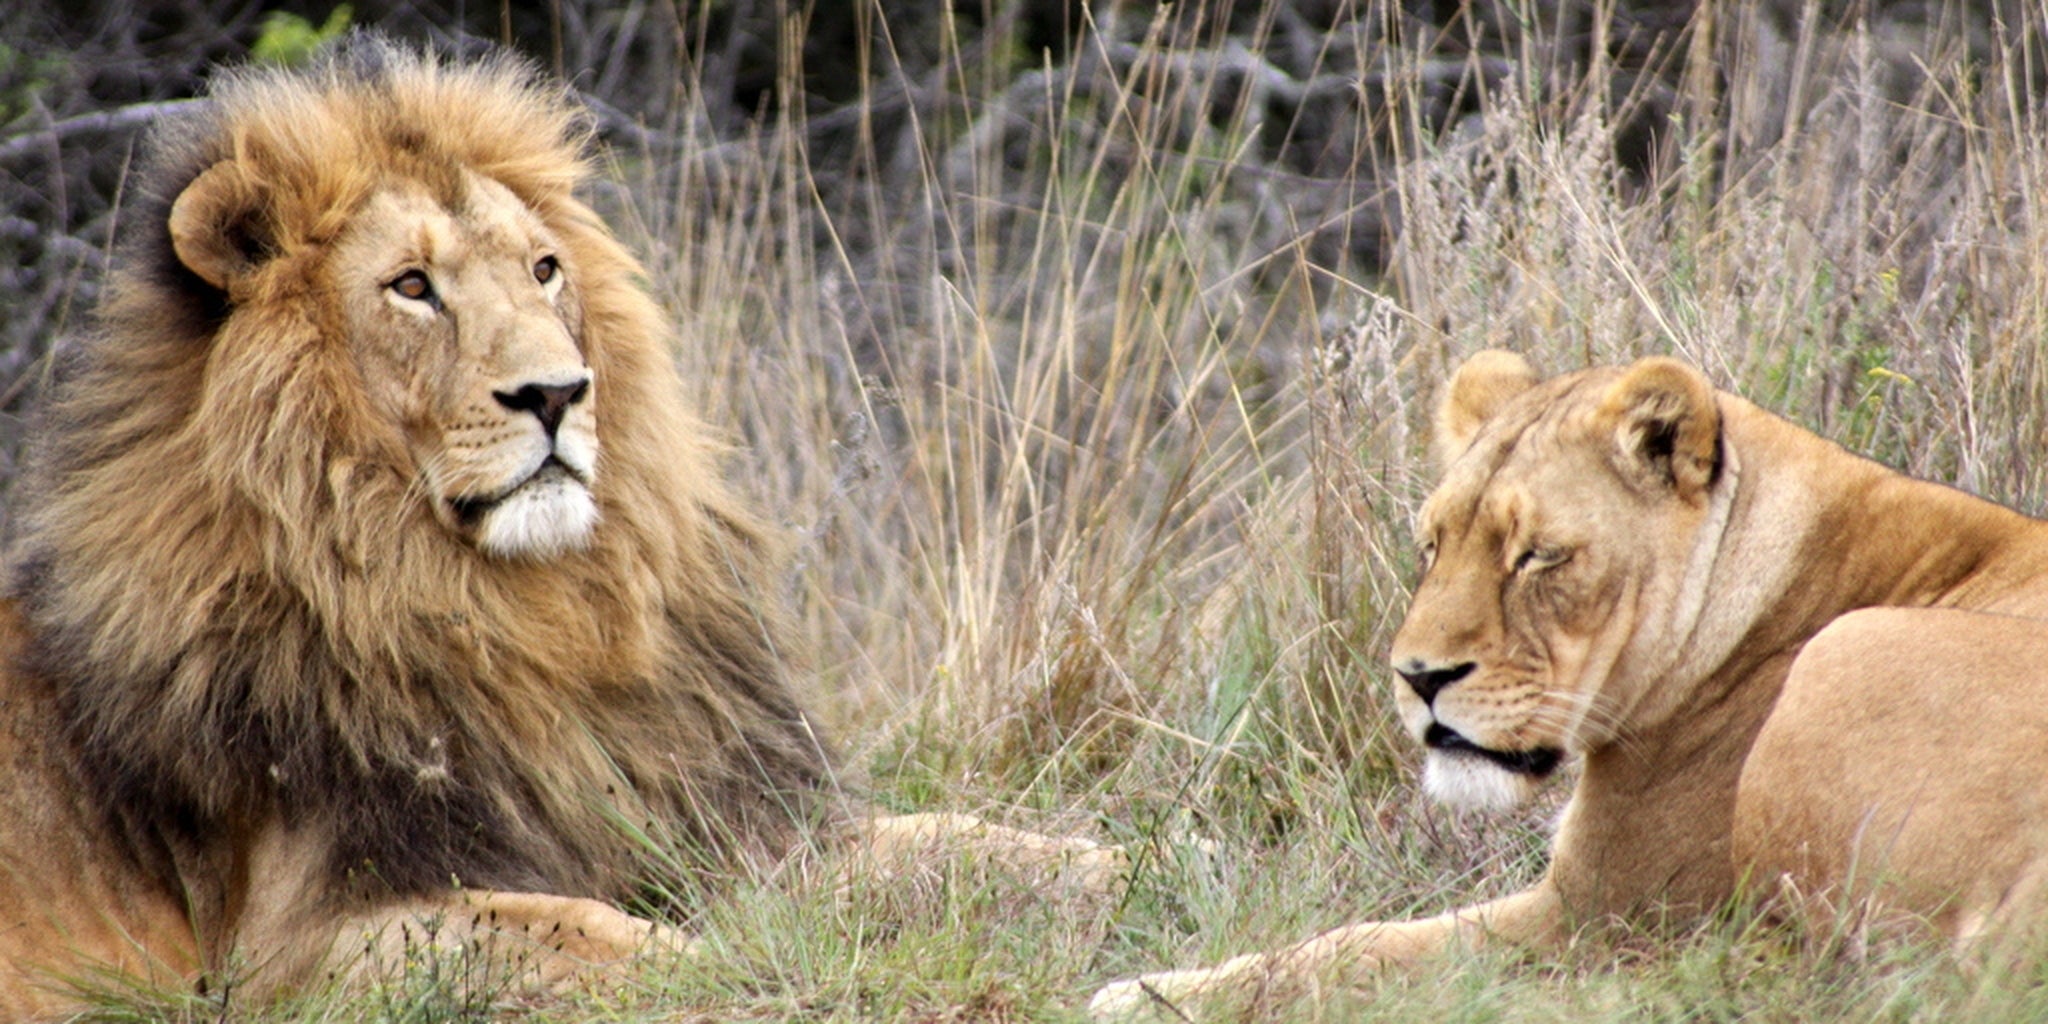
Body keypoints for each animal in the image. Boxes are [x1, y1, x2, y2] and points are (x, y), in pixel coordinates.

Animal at [0, 39, 1118, 1019]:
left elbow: (957, 839)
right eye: (413, 287)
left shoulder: (718, 812)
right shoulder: (292, 950)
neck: (526, 617)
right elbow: (579, 929)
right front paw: (730, 966)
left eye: (543, 268)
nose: (557, 392)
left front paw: (1125, 858)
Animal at [1091, 349, 2048, 1019]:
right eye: (1432, 544)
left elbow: (1353, 949)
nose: (1419, 677)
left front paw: (1145, 994)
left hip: (1846, 663)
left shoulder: (1601, 913)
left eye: (1539, 555)